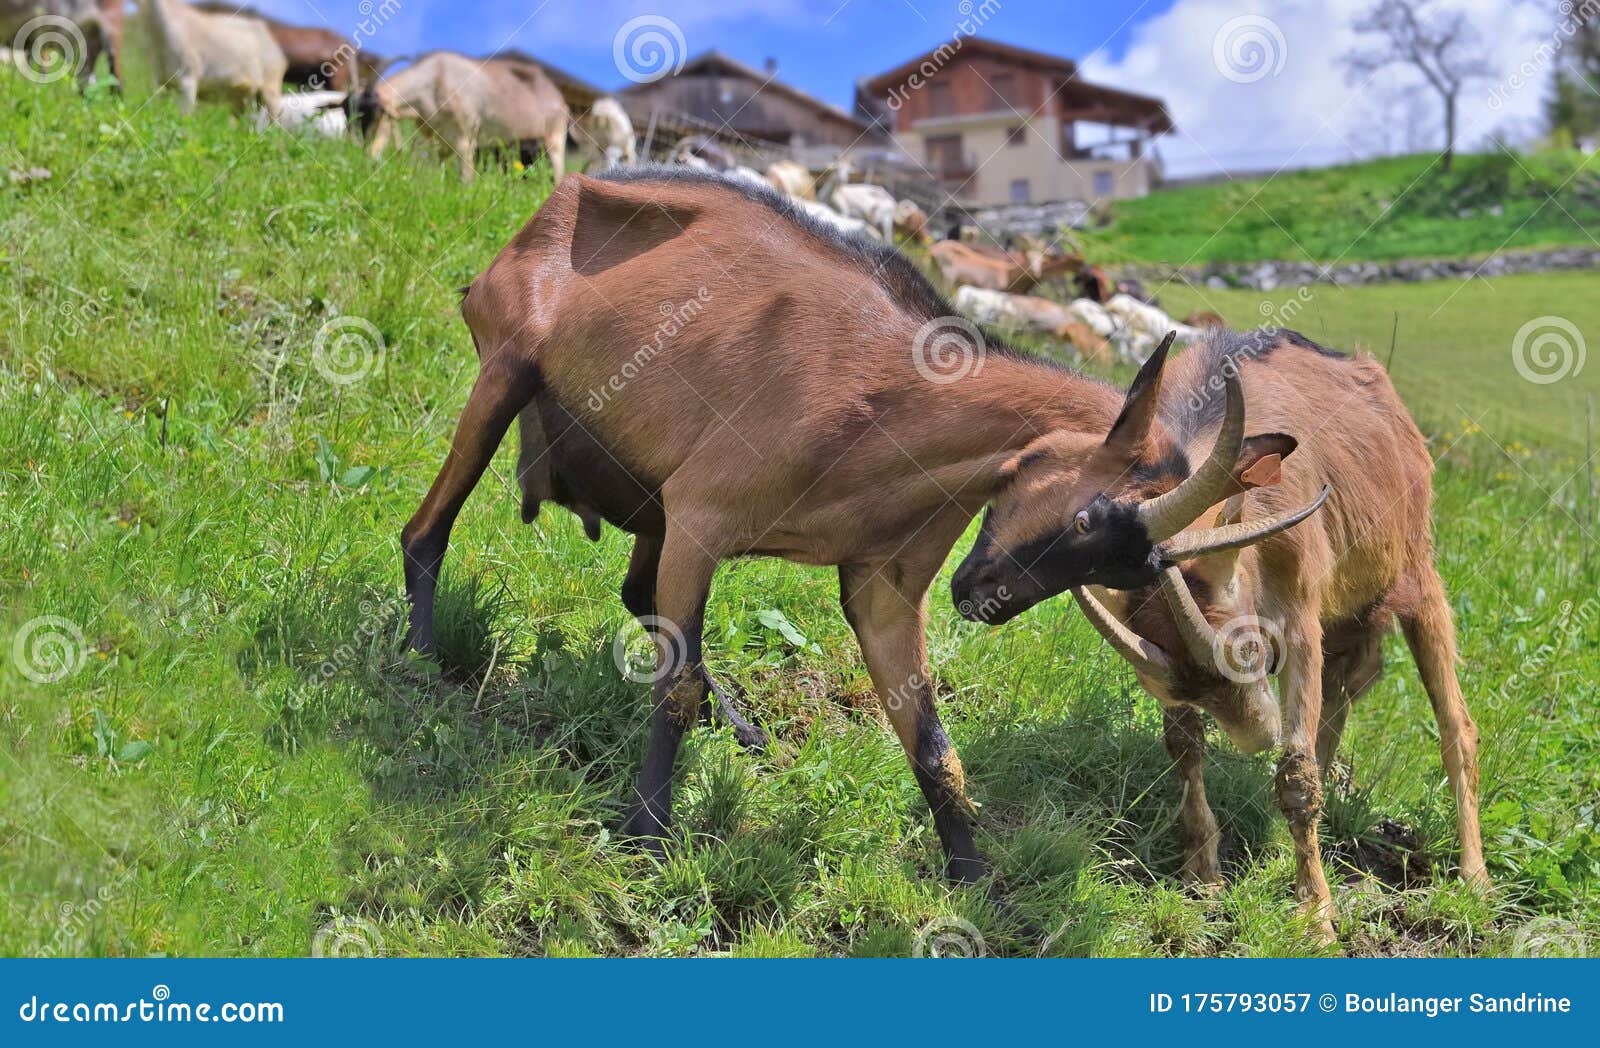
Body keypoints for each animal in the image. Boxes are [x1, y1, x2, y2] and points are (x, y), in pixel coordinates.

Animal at [400, 166, 1147, 883]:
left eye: (1140, 565)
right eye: (1088, 517)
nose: (982, 600)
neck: (895, 390)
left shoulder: (885, 586)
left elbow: (932, 746)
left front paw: (972, 878)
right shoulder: (701, 517)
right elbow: (674, 687)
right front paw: (648, 835)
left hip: (648, 499)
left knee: (641, 597)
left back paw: (741, 728)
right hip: (505, 377)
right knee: (425, 532)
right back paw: (420, 658)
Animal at [950, 329, 1486, 940]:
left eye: (1252, 650)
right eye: (1003, 488)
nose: (968, 588)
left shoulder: (1300, 620)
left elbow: (1296, 773)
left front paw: (1317, 915)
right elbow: (1186, 746)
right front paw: (1203, 873)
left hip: (1417, 575)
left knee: (1457, 726)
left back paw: (1474, 879)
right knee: (1343, 697)